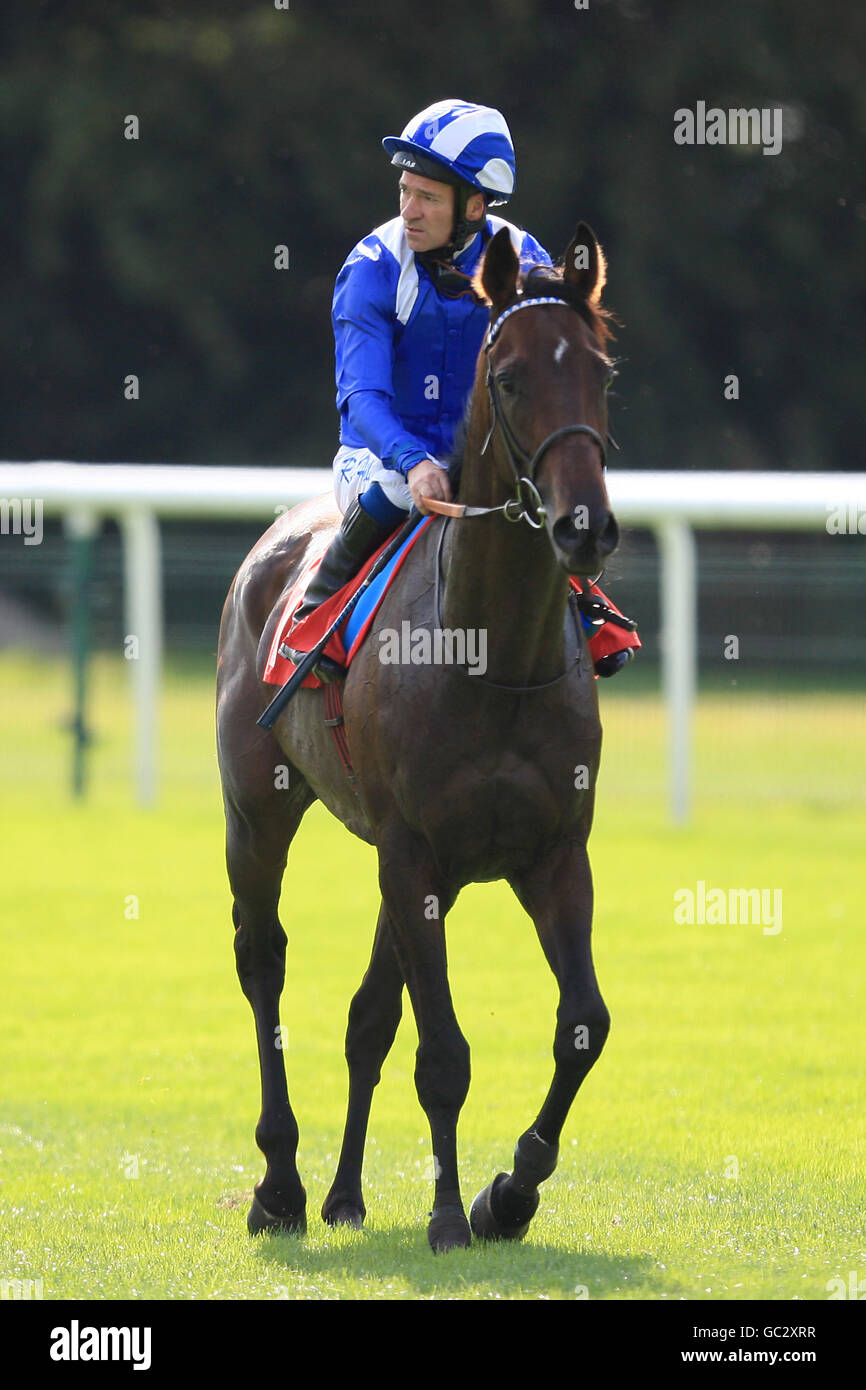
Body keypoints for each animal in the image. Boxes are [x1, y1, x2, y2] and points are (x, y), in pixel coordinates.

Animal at [215, 221, 620, 1252]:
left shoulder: (548, 852)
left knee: (369, 1015)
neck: (492, 654)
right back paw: (281, 1182)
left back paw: (344, 1193)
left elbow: (583, 1024)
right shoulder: (414, 851)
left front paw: (509, 1192)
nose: (584, 527)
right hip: (258, 811)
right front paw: (448, 1215)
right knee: (262, 962)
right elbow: (443, 1053)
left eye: (601, 372)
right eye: (508, 376)